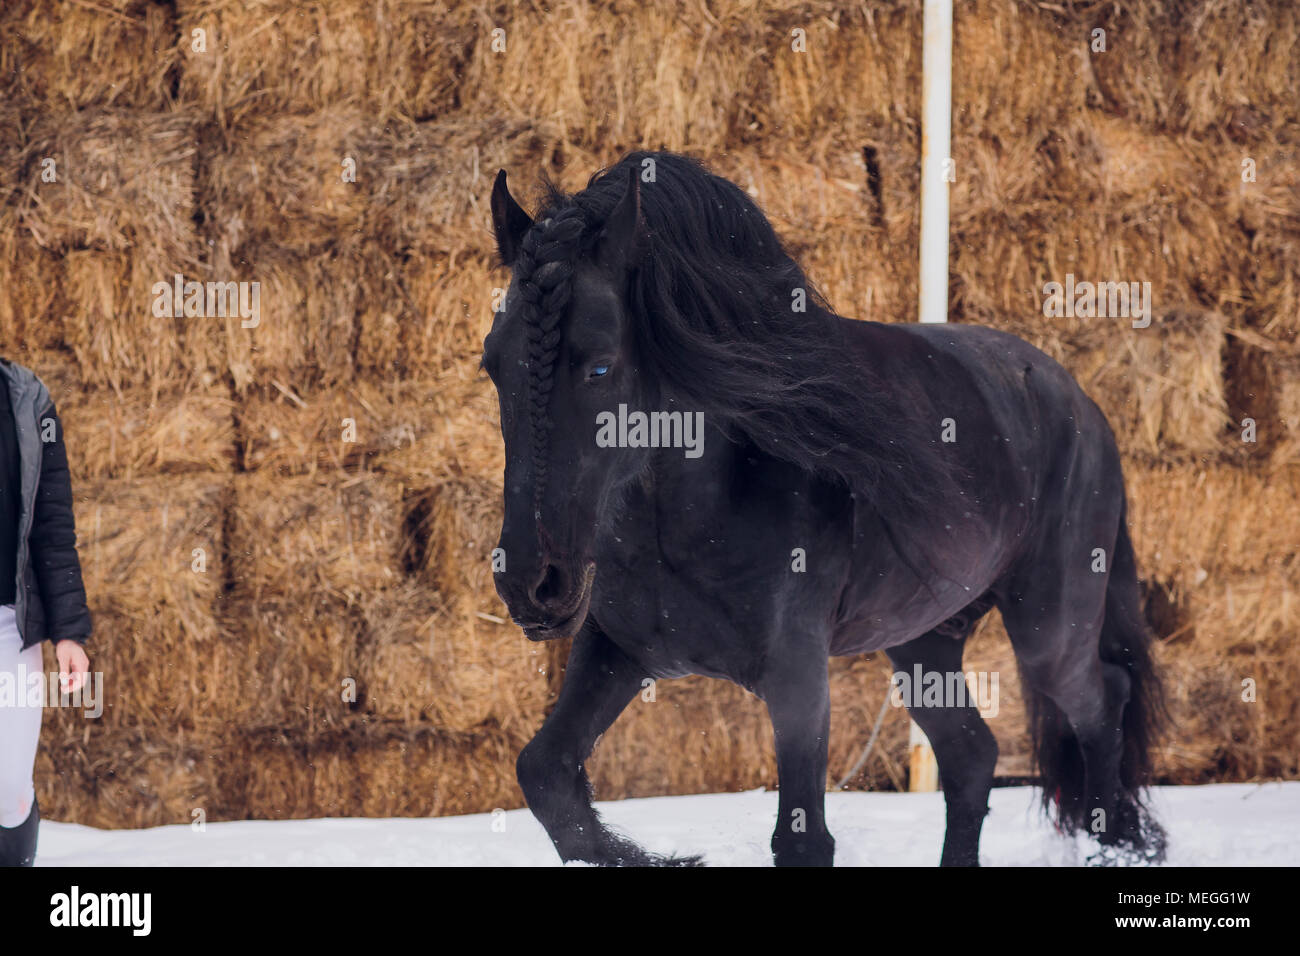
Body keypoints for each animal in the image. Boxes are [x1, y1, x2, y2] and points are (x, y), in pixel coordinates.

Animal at [481, 151, 1165, 867]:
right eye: (491, 364)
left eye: (600, 369)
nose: (532, 584)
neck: (688, 518)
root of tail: (1081, 404)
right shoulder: (619, 651)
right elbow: (546, 774)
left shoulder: (797, 675)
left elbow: (803, 837)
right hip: (924, 637)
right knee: (973, 753)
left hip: (1048, 625)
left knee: (1100, 702)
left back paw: (1119, 844)